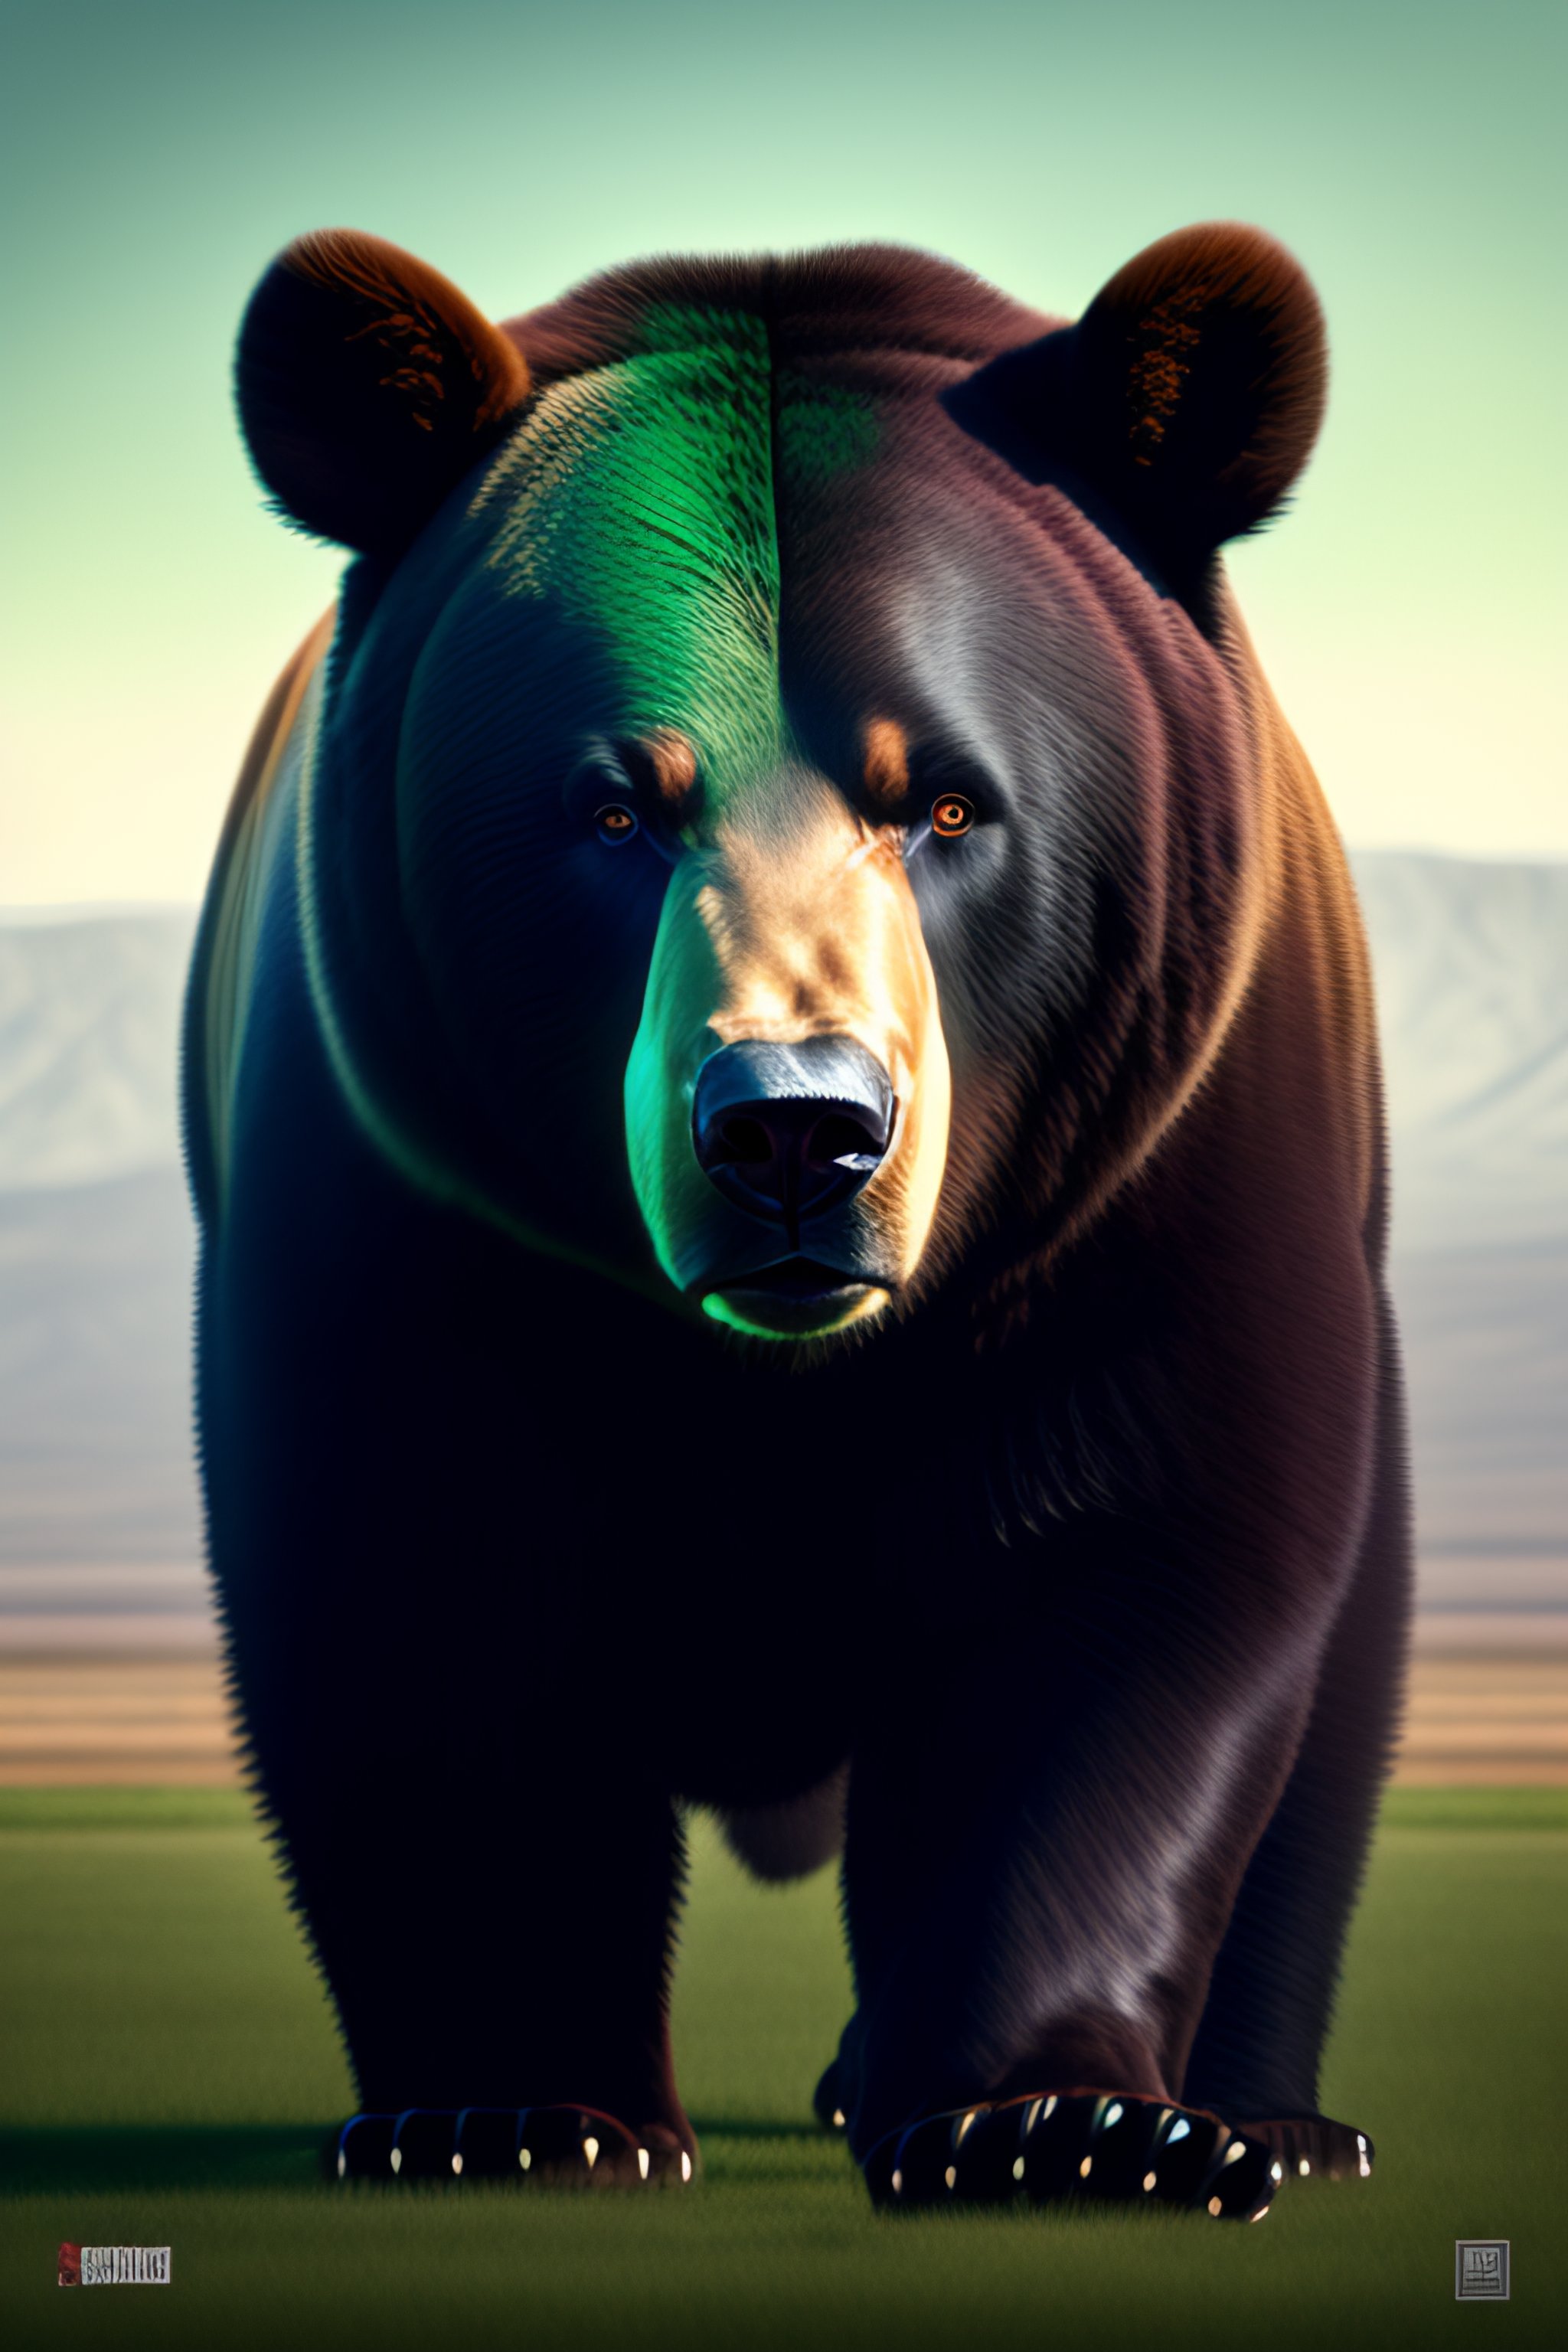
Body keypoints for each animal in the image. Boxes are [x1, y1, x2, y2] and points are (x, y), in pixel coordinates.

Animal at [184, 221, 1408, 2218]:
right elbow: (419, 1593)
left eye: (950, 803)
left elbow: (1125, 1586)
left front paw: (1051, 2121)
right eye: (614, 804)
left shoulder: (1150, 1179)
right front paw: (509, 2106)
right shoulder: (412, 1179)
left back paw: (1283, 2118)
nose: (793, 1134)